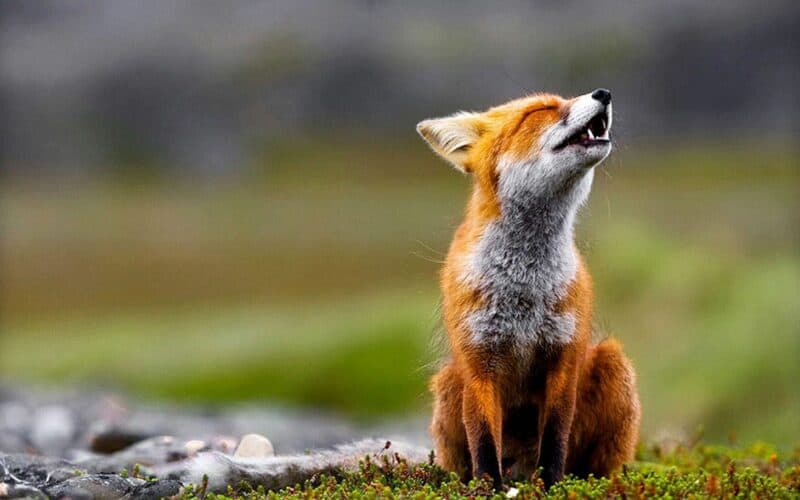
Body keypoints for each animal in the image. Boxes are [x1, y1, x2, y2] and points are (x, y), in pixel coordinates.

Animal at [418, 89, 640, 488]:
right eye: (541, 109)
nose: (604, 93)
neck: (524, 287)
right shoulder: (479, 363)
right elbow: (483, 442)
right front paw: (488, 489)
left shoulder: (562, 358)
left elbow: (554, 439)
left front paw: (552, 486)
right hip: (448, 383)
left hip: (614, 365)